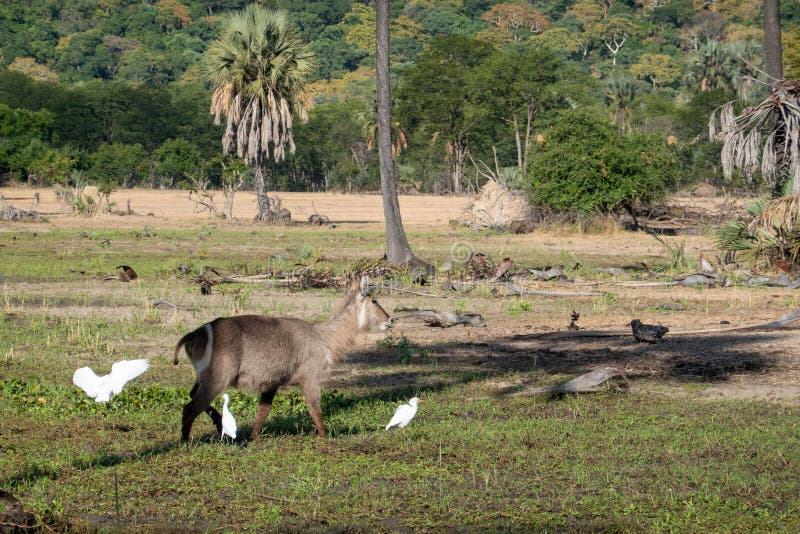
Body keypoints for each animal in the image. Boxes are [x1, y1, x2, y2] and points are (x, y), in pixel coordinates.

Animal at [172, 276, 390, 441]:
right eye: (374, 301)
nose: (391, 320)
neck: (323, 337)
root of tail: (195, 333)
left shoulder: (273, 382)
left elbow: (263, 412)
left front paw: (253, 437)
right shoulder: (310, 377)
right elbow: (315, 410)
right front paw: (326, 436)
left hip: (203, 377)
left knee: (192, 396)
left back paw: (218, 423)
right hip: (217, 379)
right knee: (190, 408)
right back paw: (187, 440)